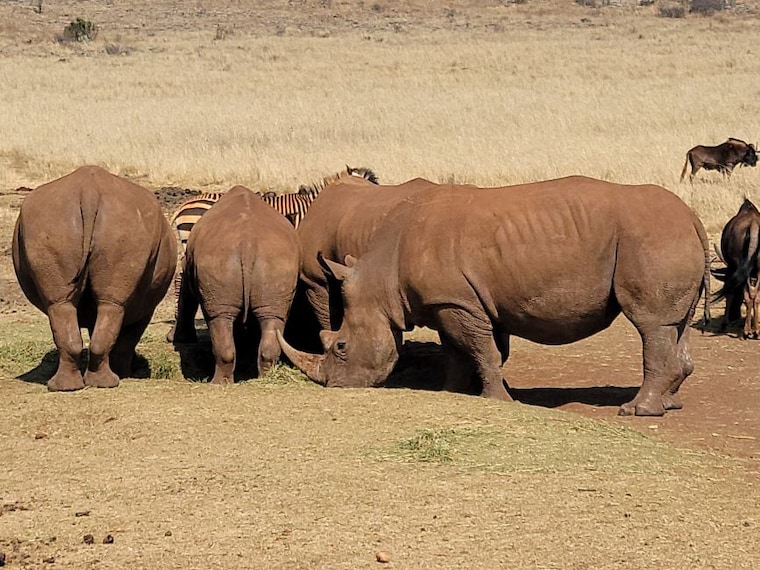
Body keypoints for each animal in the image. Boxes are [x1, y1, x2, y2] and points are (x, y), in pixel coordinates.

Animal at [12, 166, 177, 391]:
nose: (139, 366)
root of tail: (89, 191)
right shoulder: (146, 307)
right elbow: (127, 336)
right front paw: (126, 372)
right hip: (106, 225)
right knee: (104, 306)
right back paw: (102, 383)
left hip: (58, 224)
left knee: (69, 304)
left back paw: (68, 386)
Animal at [171, 186, 300, 383]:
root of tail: (249, 243)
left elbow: (187, 295)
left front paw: (178, 339)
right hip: (276, 260)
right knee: (272, 316)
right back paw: (264, 379)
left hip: (220, 258)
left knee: (219, 317)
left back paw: (217, 383)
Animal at [279, 176, 712, 417]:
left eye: (341, 347)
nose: (336, 387)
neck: (381, 277)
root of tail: (692, 216)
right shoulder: (451, 300)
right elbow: (461, 351)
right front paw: (452, 393)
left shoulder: (458, 302)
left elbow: (481, 350)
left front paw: (497, 400)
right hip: (666, 235)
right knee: (677, 326)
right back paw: (669, 405)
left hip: (651, 236)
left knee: (651, 325)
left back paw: (637, 411)